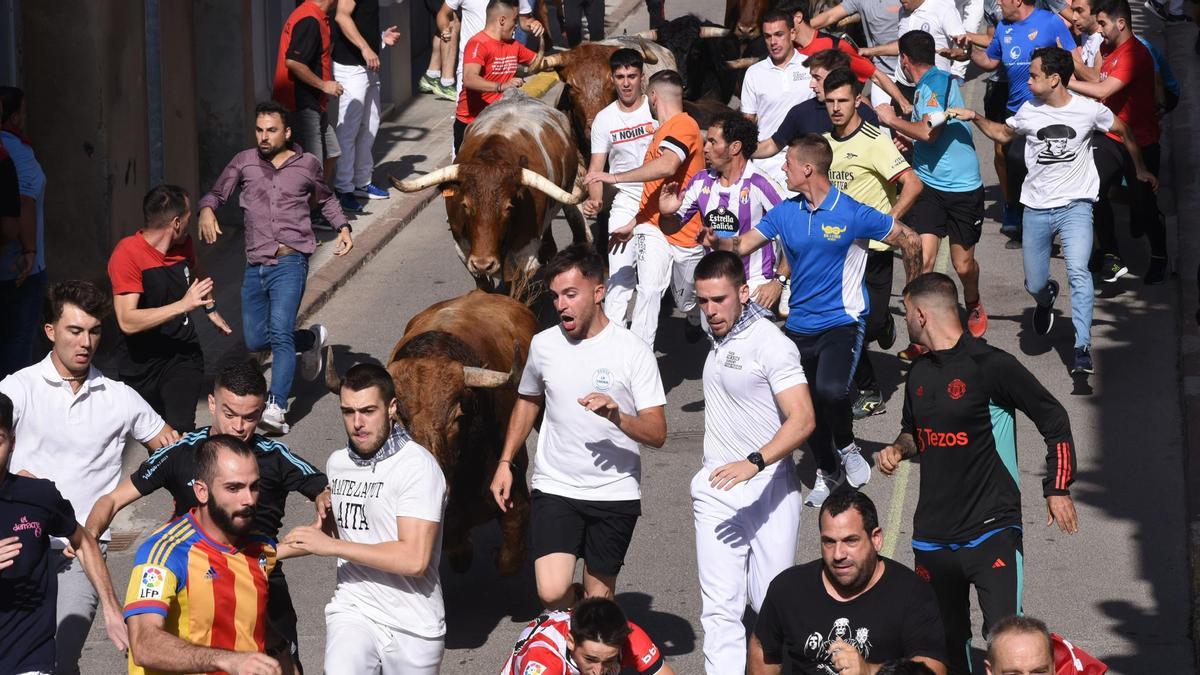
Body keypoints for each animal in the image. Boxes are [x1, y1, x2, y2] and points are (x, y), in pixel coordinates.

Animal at [391, 89, 583, 289]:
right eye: (465, 205)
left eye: (508, 207)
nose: (483, 263)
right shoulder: (463, 249)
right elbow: (484, 286)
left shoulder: (525, 255)